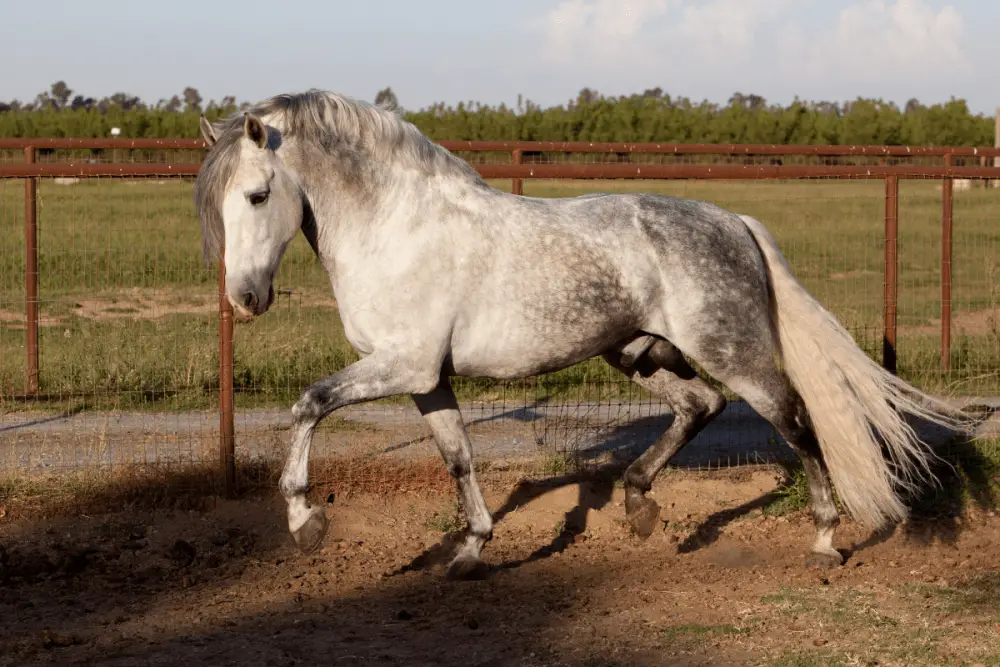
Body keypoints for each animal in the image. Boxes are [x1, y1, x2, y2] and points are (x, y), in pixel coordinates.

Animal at [193, 89, 972, 580]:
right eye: (218, 205)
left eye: (257, 195)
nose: (246, 299)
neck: (395, 228)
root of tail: (735, 221)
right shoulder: (428, 379)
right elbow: (459, 458)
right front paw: (470, 553)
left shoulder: (401, 365)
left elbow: (309, 404)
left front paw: (305, 523)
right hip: (637, 353)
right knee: (701, 407)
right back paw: (639, 506)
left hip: (734, 353)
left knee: (796, 420)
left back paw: (823, 539)